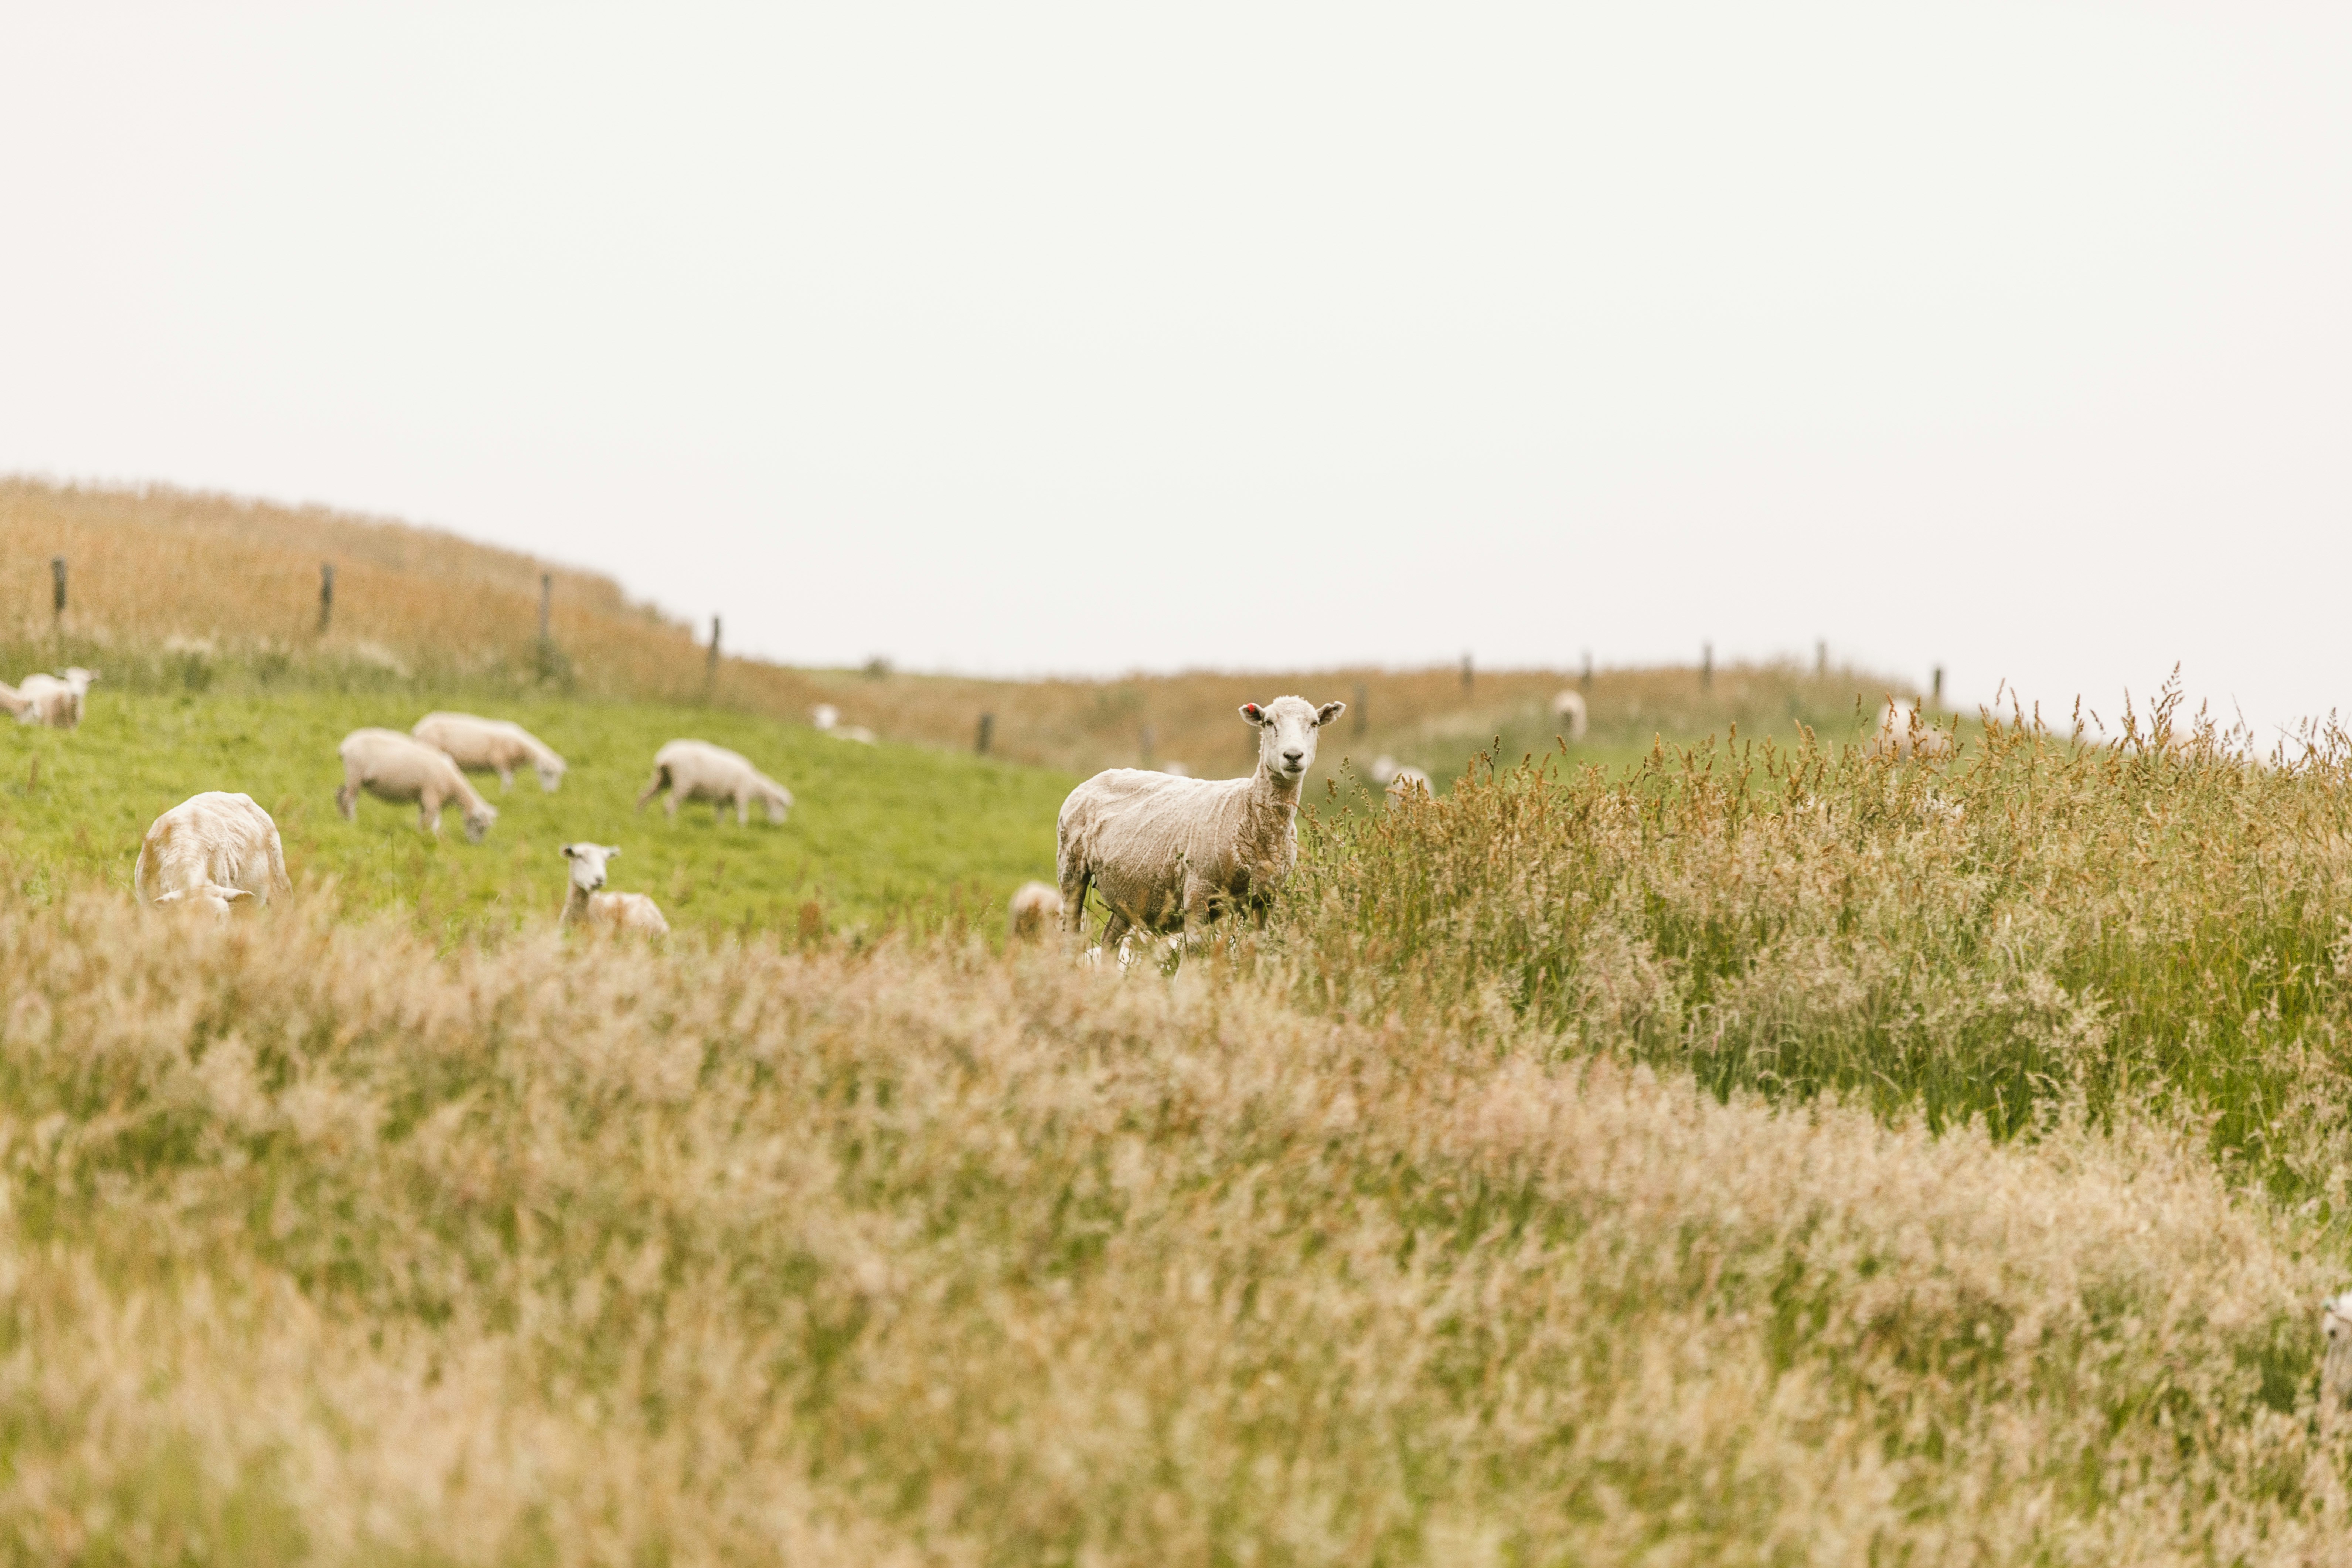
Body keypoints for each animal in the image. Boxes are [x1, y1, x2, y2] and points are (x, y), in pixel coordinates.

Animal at [15, 667, 98, 730]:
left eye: (86, 682)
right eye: (68, 680)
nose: (74, 695)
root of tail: (37, 676)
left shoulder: (73, 728)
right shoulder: (49, 724)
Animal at [335, 728, 500, 842]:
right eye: (480, 825)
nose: (475, 845)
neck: (453, 786)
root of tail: (346, 745)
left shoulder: (426, 798)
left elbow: (426, 819)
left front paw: (422, 834)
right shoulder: (432, 795)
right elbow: (432, 820)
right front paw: (429, 837)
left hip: (355, 779)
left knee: (340, 793)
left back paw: (343, 818)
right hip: (355, 775)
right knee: (349, 799)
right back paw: (352, 821)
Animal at [410, 712, 568, 792]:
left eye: (558, 775)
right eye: (547, 773)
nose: (552, 793)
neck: (521, 747)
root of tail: (419, 728)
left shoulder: (510, 766)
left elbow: (510, 781)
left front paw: (511, 794)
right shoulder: (499, 760)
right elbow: (507, 780)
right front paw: (505, 795)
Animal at [637, 739, 793, 825]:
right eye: (782, 806)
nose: (779, 825)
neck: (755, 785)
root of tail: (665, 757)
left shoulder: (721, 799)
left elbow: (720, 817)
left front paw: (720, 830)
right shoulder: (741, 795)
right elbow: (742, 815)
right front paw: (742, 830)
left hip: (661, 779)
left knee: (644, 796)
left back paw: (638, 818)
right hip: (683, 782)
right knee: (669, 805)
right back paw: (671, 825)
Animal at [1057, 694, 1345, 948]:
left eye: (1314, 724)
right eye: (1268, 722)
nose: (1293, 756)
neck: (1248, 810)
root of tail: (1101, 775)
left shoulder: (1265, 899)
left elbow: (1259, 947)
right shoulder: (1198, 892)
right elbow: (1193, 953)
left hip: (1130, 891)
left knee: (1109, 941)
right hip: (1071, 868)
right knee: (1071, 936)